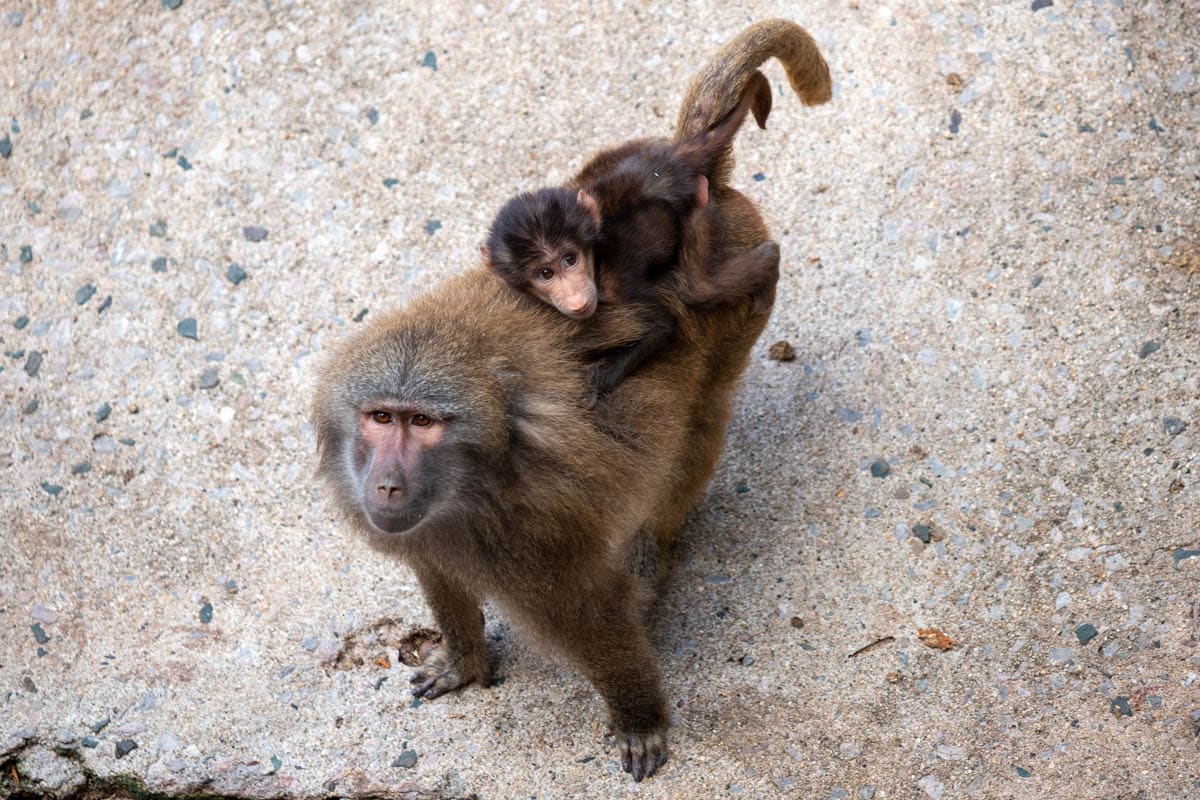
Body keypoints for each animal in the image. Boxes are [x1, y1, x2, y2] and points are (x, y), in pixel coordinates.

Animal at [482, 72, 780, 402]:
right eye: (545, 273)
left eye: (570, 259)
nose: (574, 296)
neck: (596, 262)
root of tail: (674, 160)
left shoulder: (619, 284)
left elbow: (664, 326)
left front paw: (597, 381)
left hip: (699, 205)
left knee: (701, 287)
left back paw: (769, 260)